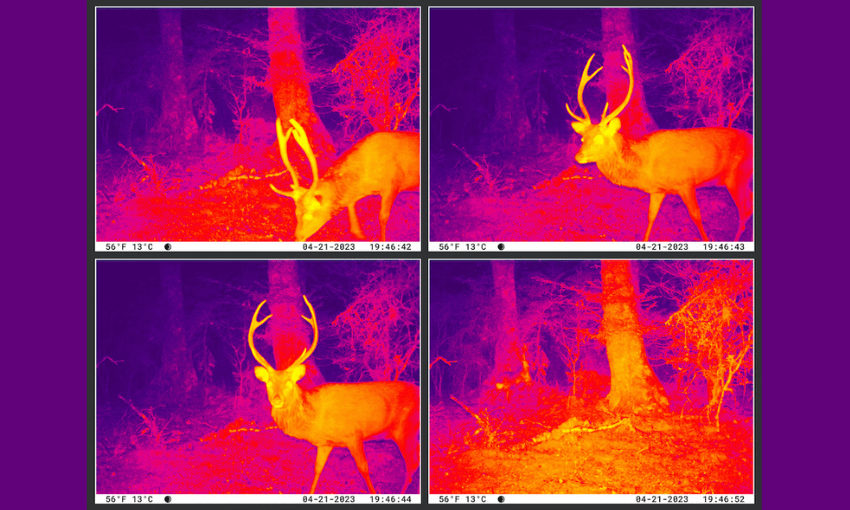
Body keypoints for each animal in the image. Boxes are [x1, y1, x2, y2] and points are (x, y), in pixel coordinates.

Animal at [248, 296, 420, 494]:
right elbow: (317, 469)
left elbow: (364, 468)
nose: (277, 400)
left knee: (412, 463)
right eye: (268, 383)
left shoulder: (354, 434)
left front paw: (374, 492)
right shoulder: (325, 443)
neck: (315, 418)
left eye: (290, 382)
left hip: (404, 427)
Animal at [270, 119, 419, 242]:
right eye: (295, 213)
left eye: (309, 215)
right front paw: (358, 233)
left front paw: (381, 240)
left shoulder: (393, 185)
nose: (296, 237)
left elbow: (383, 217)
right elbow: (351, 204)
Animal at [566, 45, 753, 242]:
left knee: (745, 209)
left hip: (736, 174)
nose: (578, 156)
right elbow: (651, 216)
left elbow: (695, 215)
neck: (644, 166)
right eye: (582, 138)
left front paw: (707, 240)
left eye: (599, 139)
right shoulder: (658, 190)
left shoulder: (686, 182)